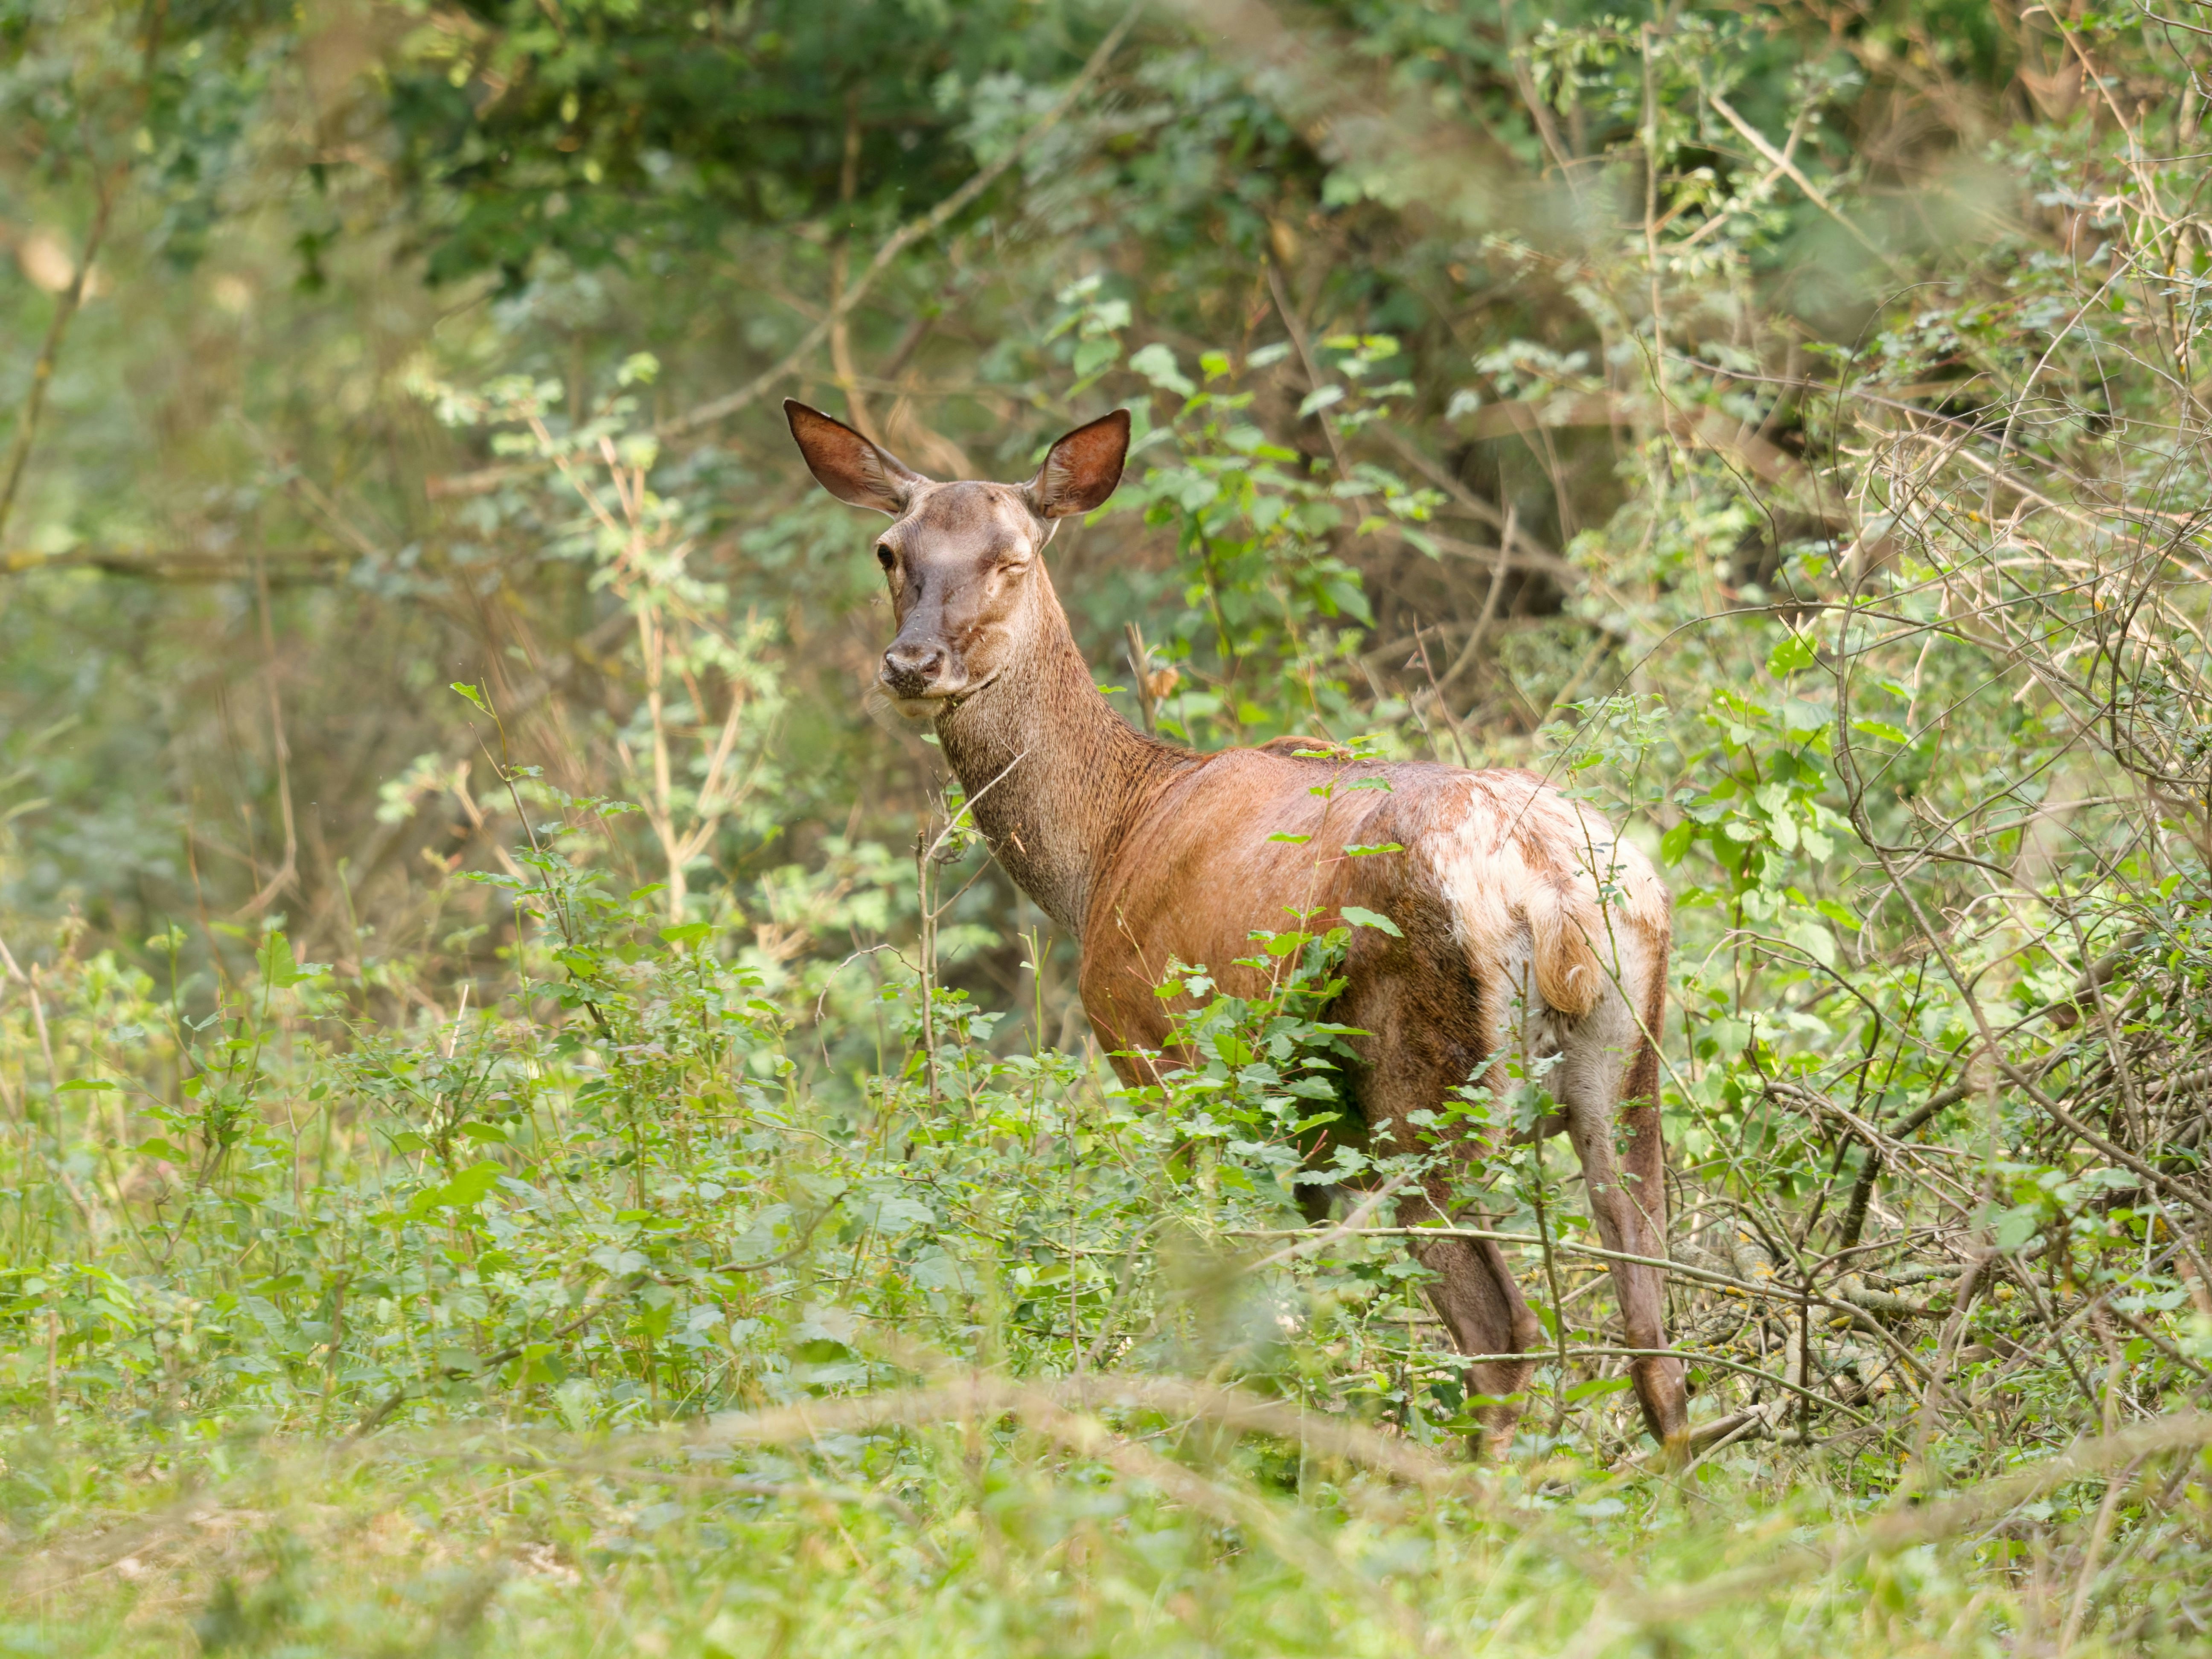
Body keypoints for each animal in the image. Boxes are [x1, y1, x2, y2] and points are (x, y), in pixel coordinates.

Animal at [784, 398, 1689, 1457]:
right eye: (891, 550)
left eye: (1013, 556)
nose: (912, 663)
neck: (1106, 844)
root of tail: (1552, 890)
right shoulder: (1306, 1126)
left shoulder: (1160, 1059)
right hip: (1628, 1062)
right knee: (1655, 1335)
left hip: (1422, 1081)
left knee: (1503, 1332)